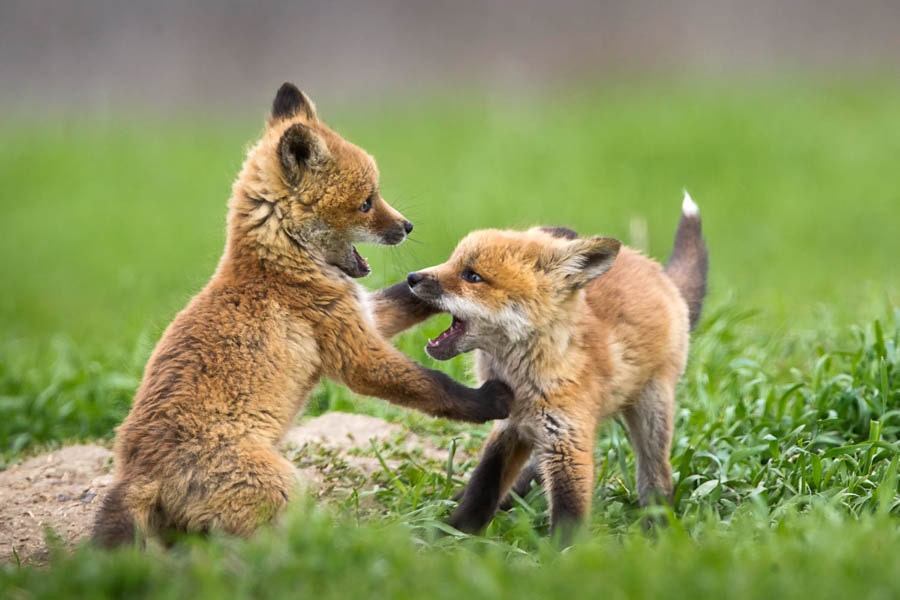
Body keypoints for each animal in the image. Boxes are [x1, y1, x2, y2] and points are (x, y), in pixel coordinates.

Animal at [91, 83, 512, 548]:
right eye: (367, 203)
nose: (407, 226)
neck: (278, 267)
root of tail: (135, 473)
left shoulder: (360, 313)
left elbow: (406, 296)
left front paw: (439, 278)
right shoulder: (351, 348)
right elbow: (431, 385)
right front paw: (488, 401)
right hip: (280, 489)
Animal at [406, 193, 708, 542]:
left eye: (472, 276)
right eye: (451, 261)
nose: (411, 278)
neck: (522, 380)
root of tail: (655, 269)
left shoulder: (567, 440)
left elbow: (568, 512)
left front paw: (562, 554)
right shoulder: (509, 428)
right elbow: (482, 490)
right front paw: (453, 535)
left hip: (652, 413)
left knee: (656, 476)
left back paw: (658, 529)